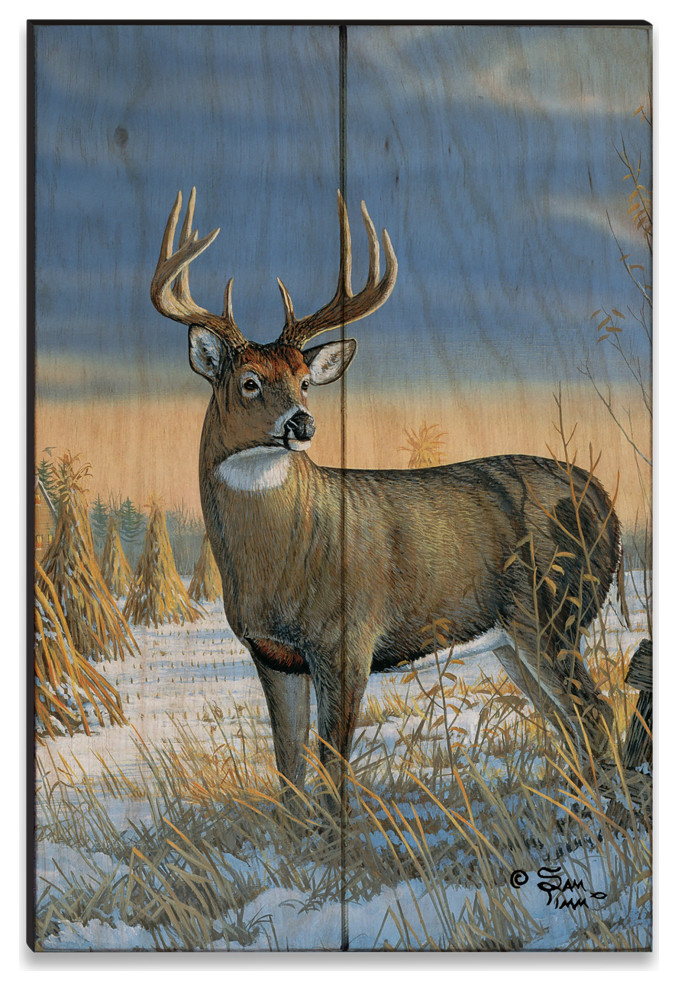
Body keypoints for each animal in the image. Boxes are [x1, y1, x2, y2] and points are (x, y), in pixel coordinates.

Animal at [151, 187, 624, 807]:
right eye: (249, 381)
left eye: (306, 380)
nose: (302, 423)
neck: (280, 561)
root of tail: (607, 506)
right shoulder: (273, 655)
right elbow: (289, 773)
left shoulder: (348, 641)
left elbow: (333, 771)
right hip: (511, 640)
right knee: (567, 722)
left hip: (552, 612)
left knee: (596, 712)